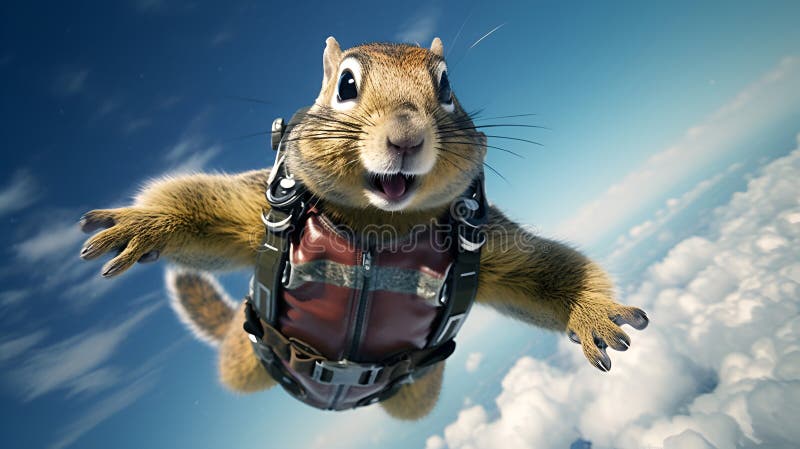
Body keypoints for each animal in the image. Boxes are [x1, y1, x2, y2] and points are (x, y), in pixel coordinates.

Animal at [79, 37, 648, 420]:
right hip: (243, 360)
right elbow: (203, 214)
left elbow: (543, 273)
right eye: (345, 84)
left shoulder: (485, 243)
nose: (406, 137)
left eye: (447, 86)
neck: (378, 226)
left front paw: (591, 312)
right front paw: (144, 224)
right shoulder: (264, 206)